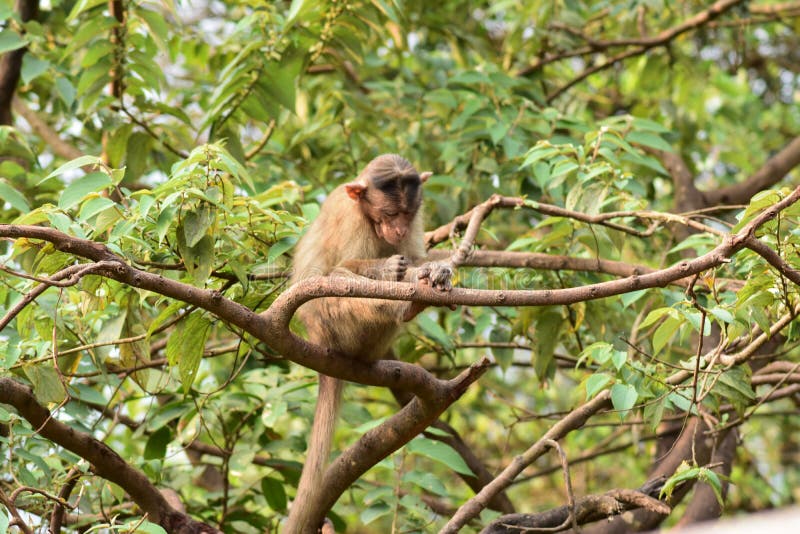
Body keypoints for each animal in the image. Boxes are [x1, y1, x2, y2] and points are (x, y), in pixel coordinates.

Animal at [284, 154, 452, 534]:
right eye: (389, 214)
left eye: (407, 214)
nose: (399, 230)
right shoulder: (351, 219)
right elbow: (341, 267)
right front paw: (391, 269)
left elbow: (416, 257)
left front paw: (435, 269)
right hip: (330, 326)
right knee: (337, 281)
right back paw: (405, 301)